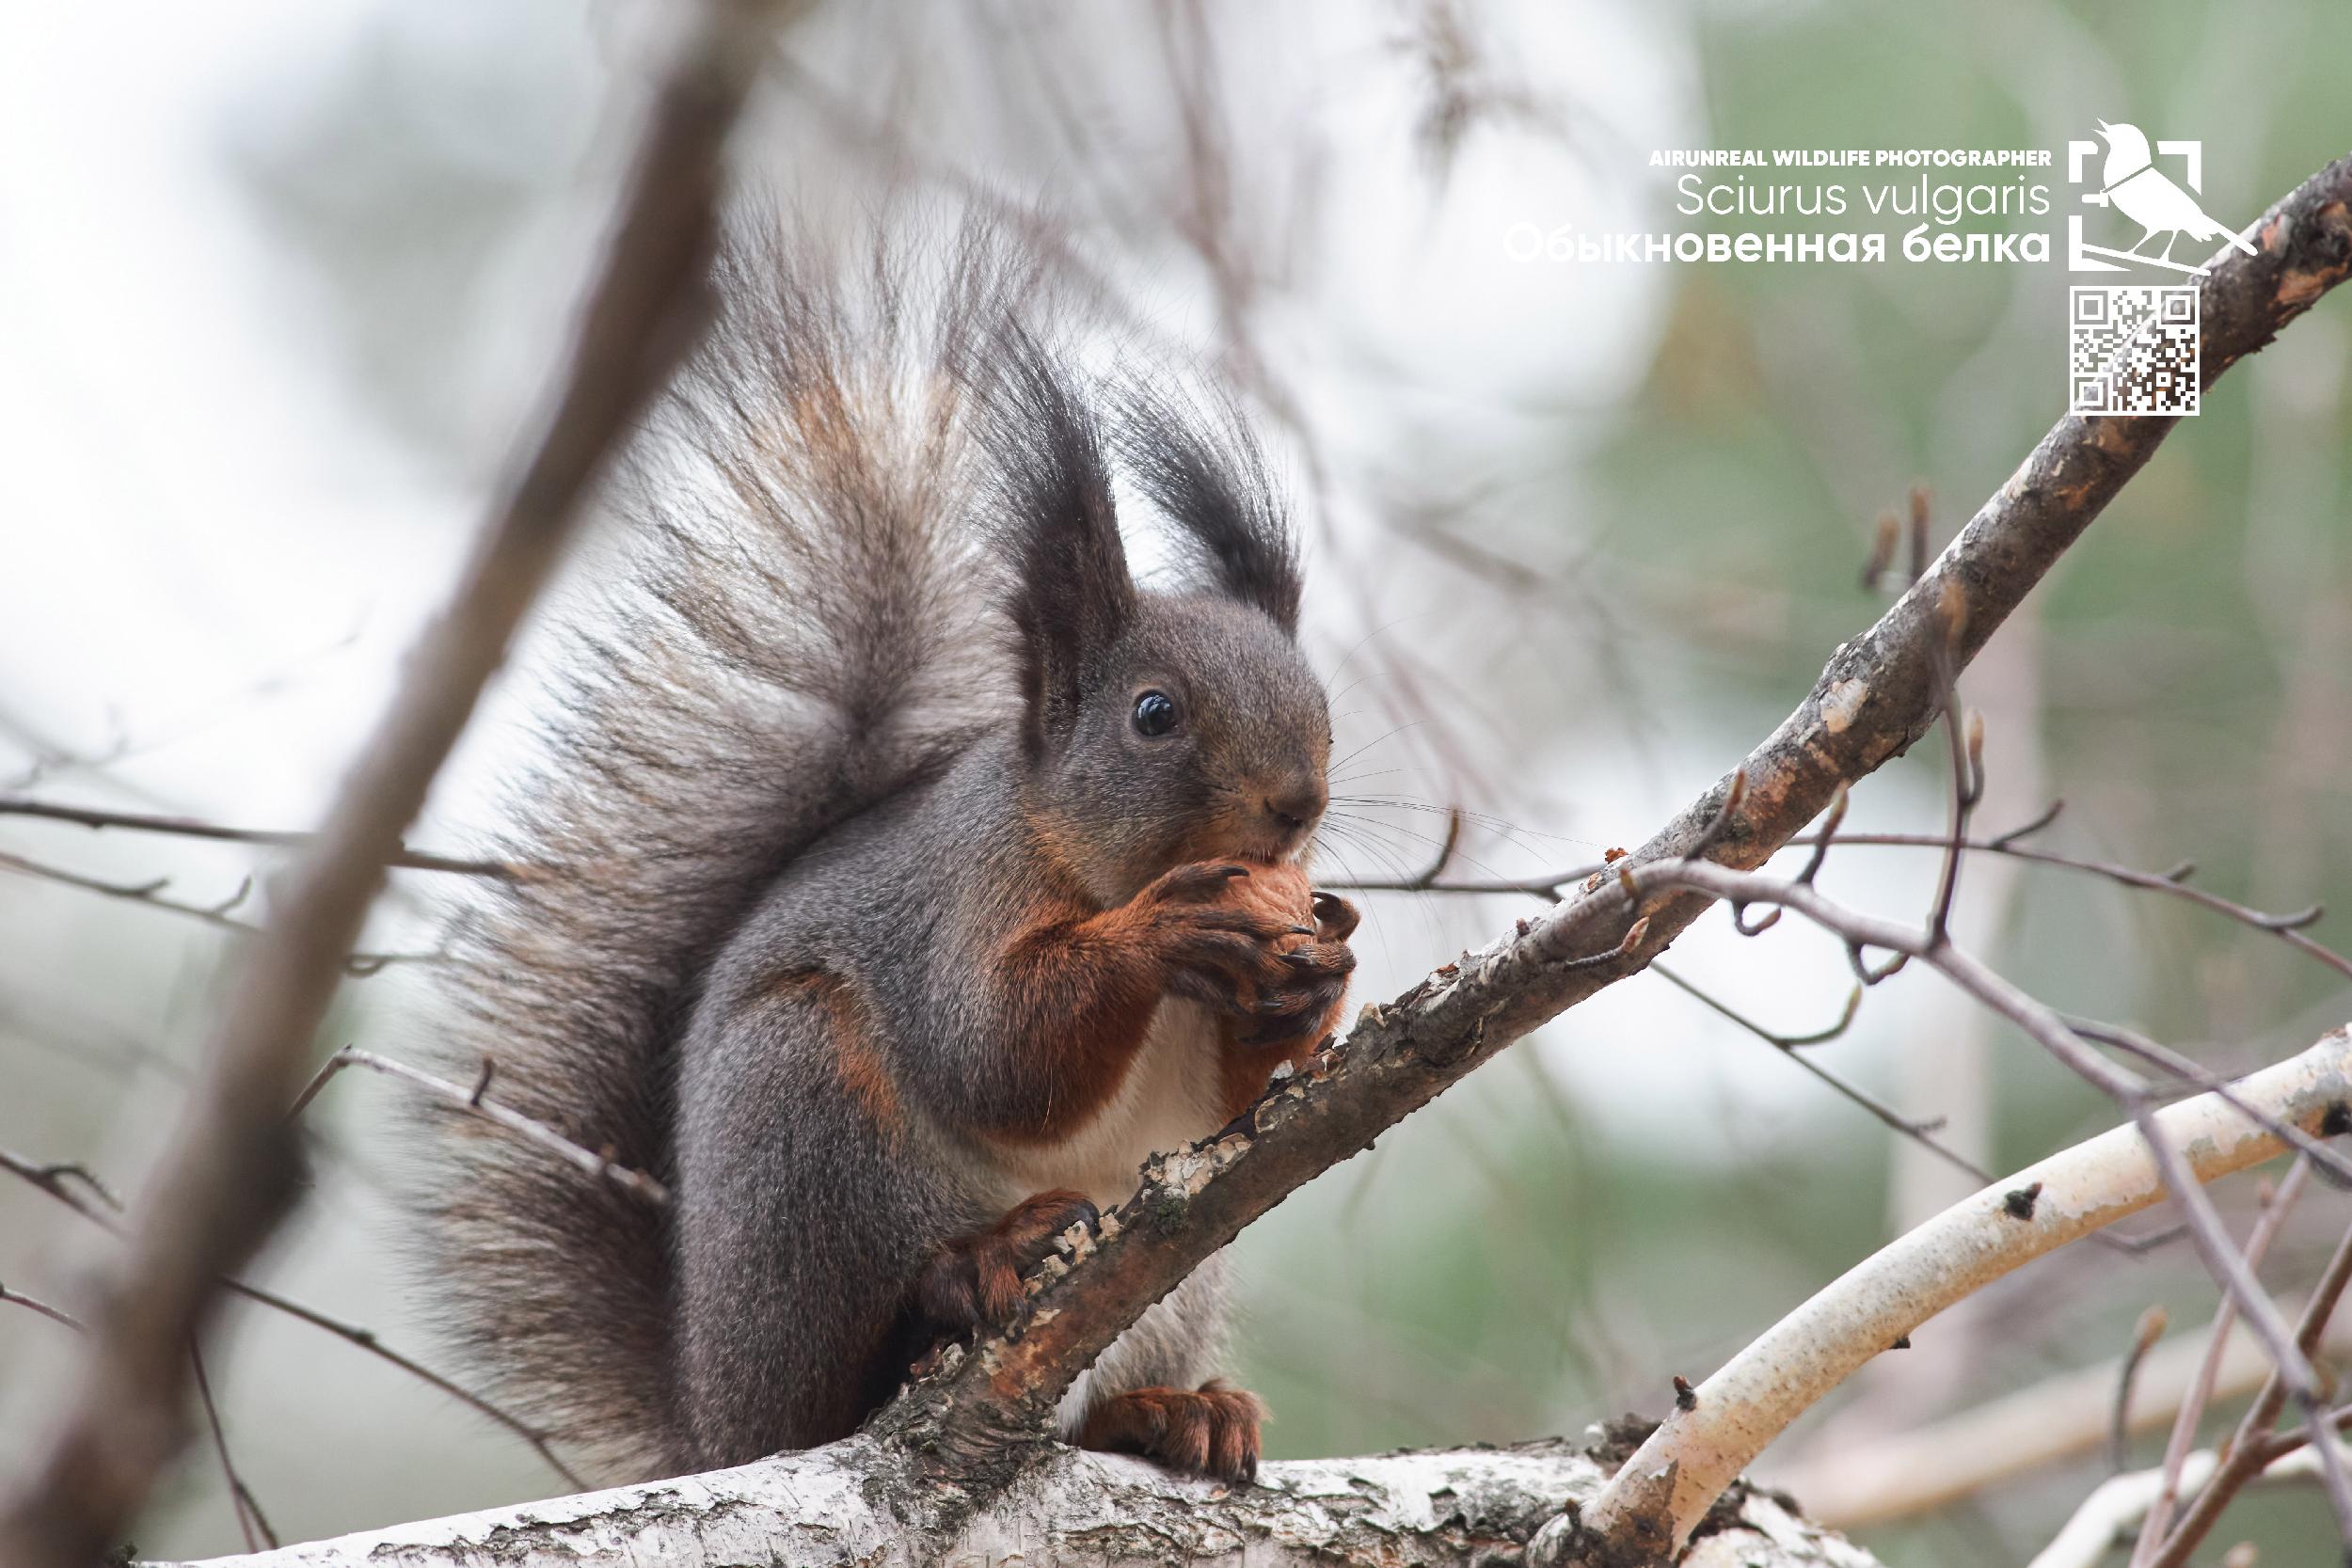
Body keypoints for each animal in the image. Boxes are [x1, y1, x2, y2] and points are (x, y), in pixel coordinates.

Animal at [414, 217, 1355, 1485]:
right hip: (809, 1123)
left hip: (1174, 1282)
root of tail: (716, 1423)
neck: (1088, 858)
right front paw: (1166, 928)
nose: (1297, 804)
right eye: (1153, 714)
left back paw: (1173, 1410)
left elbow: (1227, 1108)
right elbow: (995, 1054)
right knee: (852, 1360)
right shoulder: (959, 898)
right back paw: (970, 1268)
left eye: (1319, 698)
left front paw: (1316, 978)